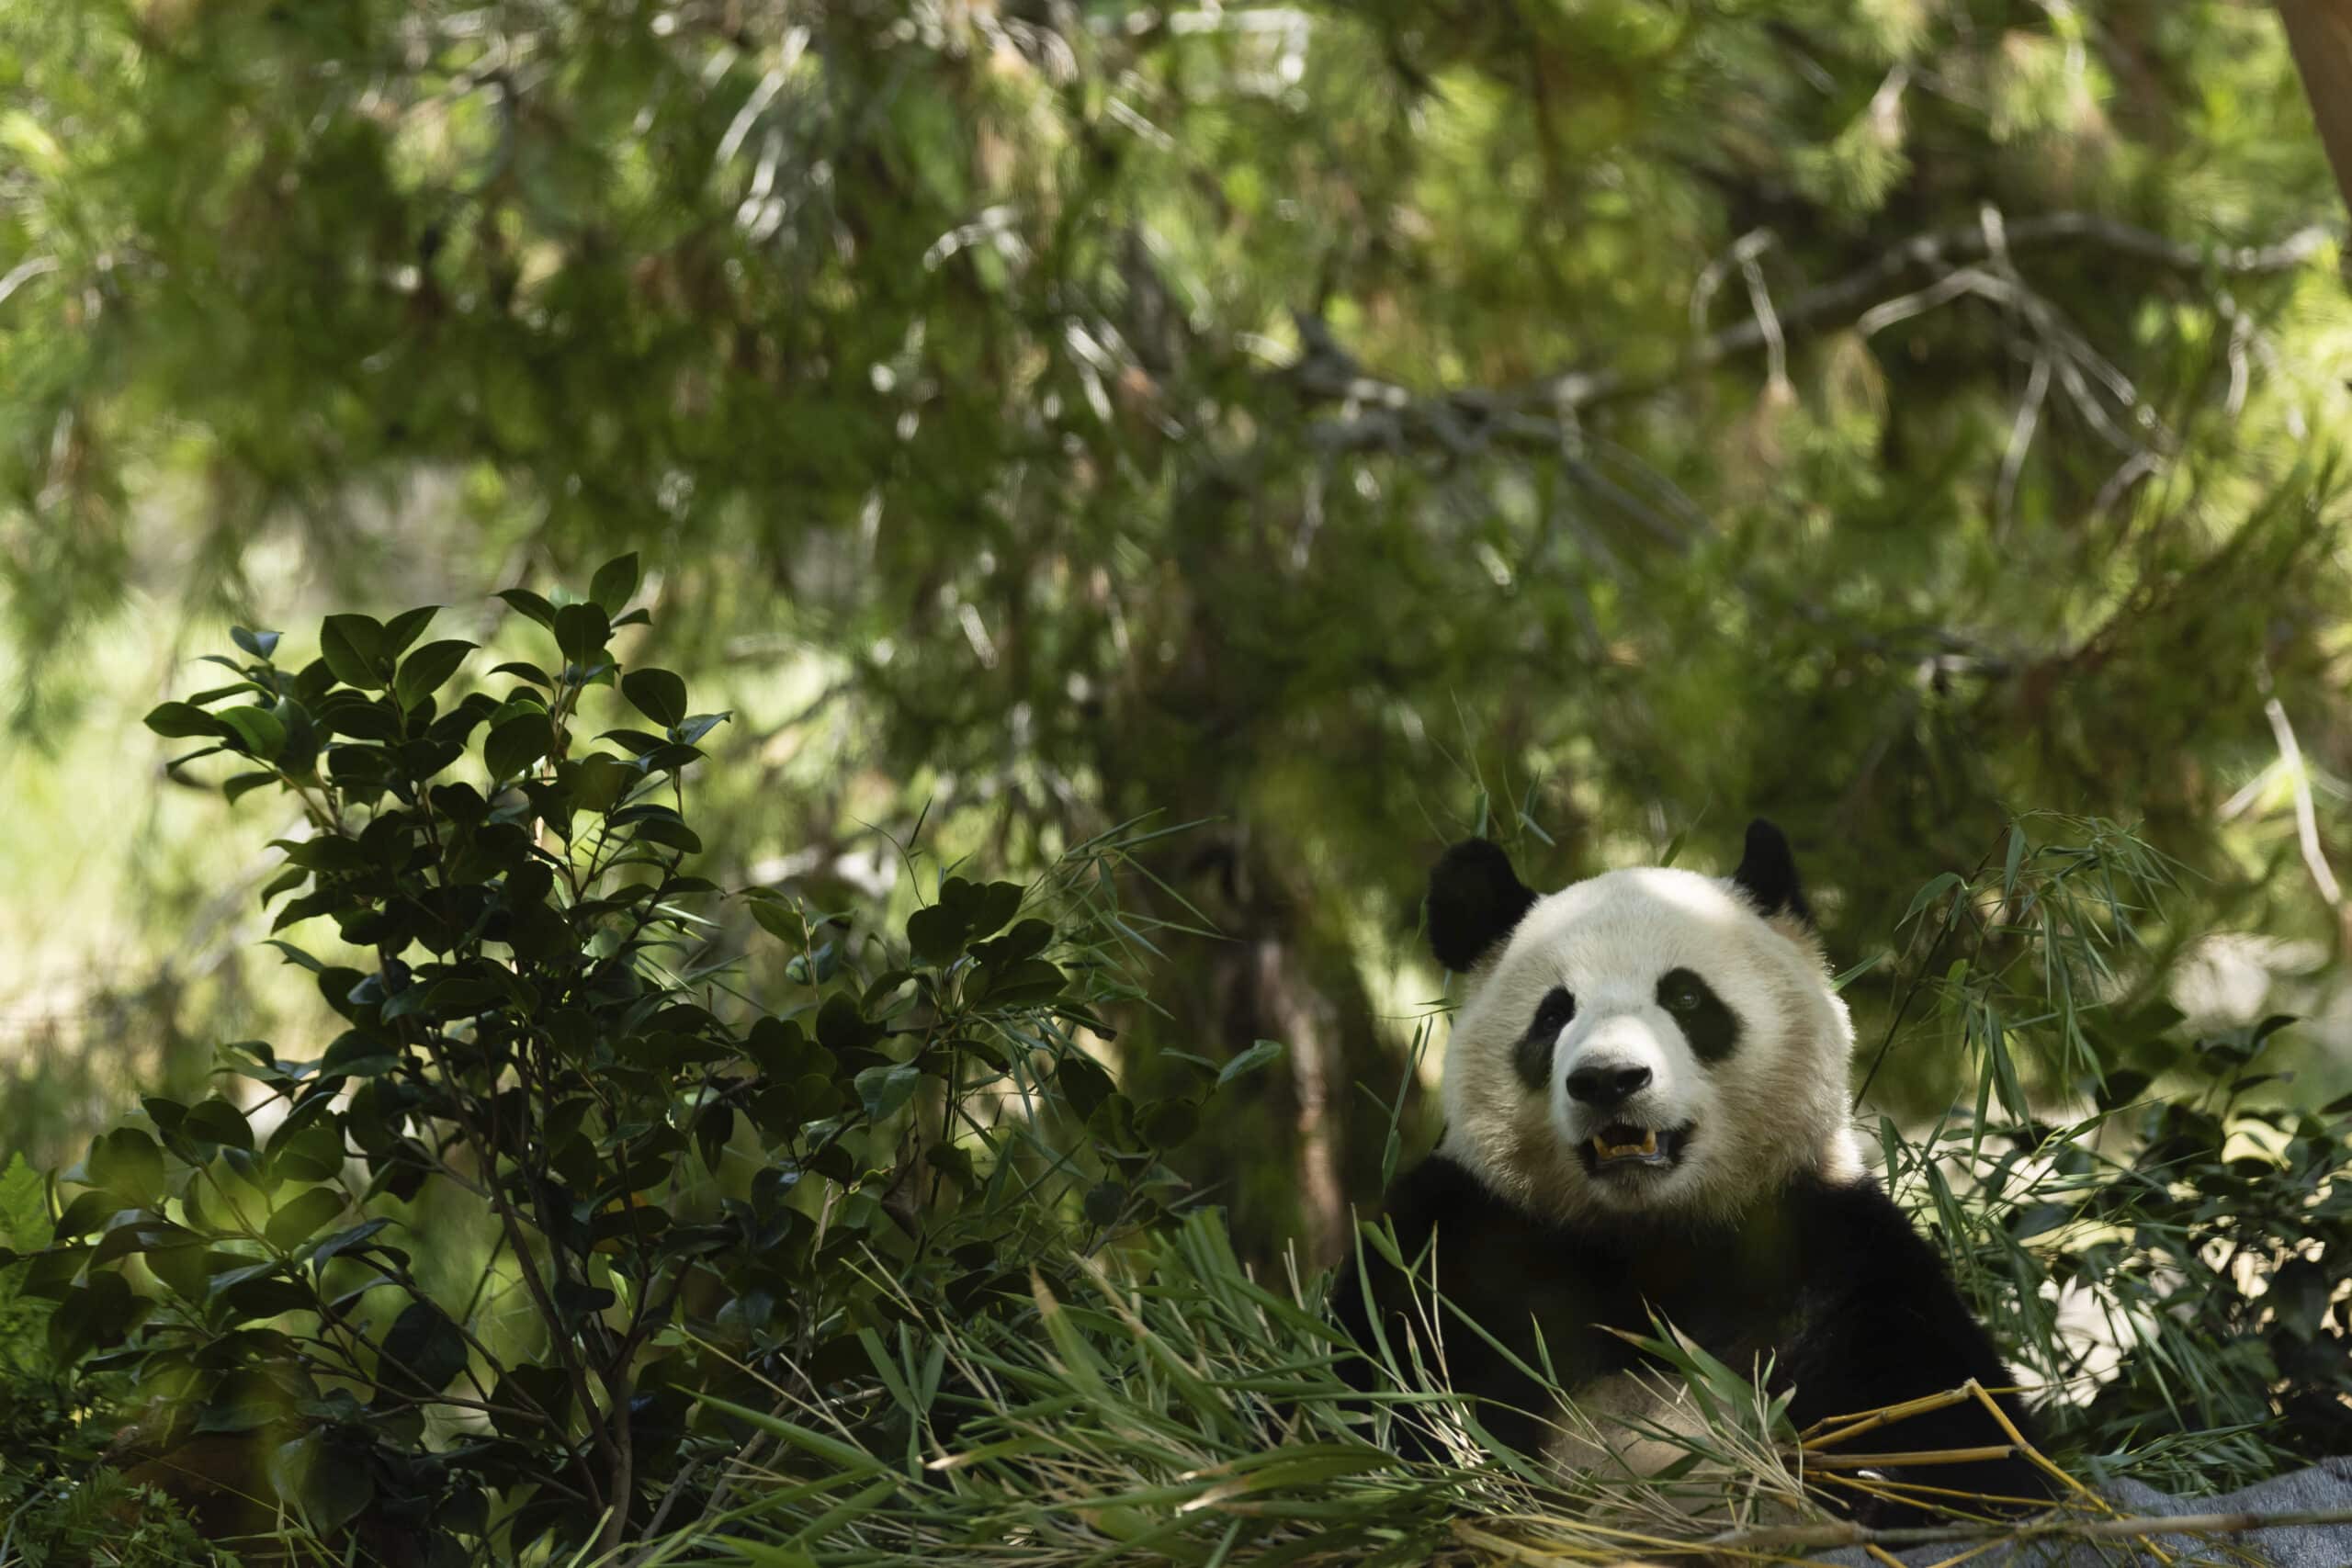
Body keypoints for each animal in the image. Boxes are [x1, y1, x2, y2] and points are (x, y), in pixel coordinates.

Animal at [1334, 820, 2048, 1518]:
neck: (1650, 1231)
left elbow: (1959, 1434)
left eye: (1684, 995)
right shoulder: (1461, 1248)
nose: (1609, 1079)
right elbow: (1369, 1396)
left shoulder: (1827, 1252)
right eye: (1554, 1012)